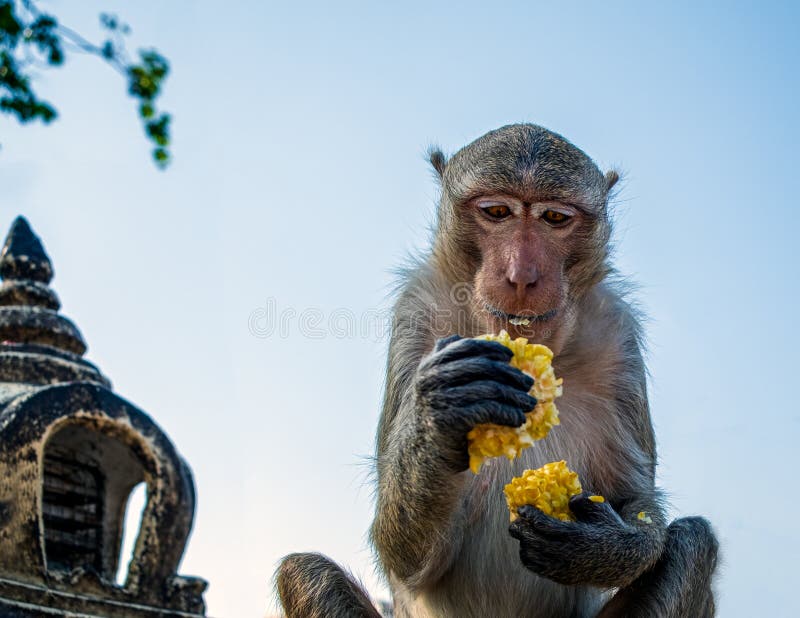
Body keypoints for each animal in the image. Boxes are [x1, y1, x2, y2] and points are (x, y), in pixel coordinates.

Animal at [275, 124, 719, 617]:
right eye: (497, 212)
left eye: (554, 218)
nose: (521, 276)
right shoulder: (417, 312)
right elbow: (403, 557)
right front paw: (440, 414)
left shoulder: (618, 336)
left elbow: (634, 497)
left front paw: (607, 545)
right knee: (303, 569)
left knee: (695, 542)